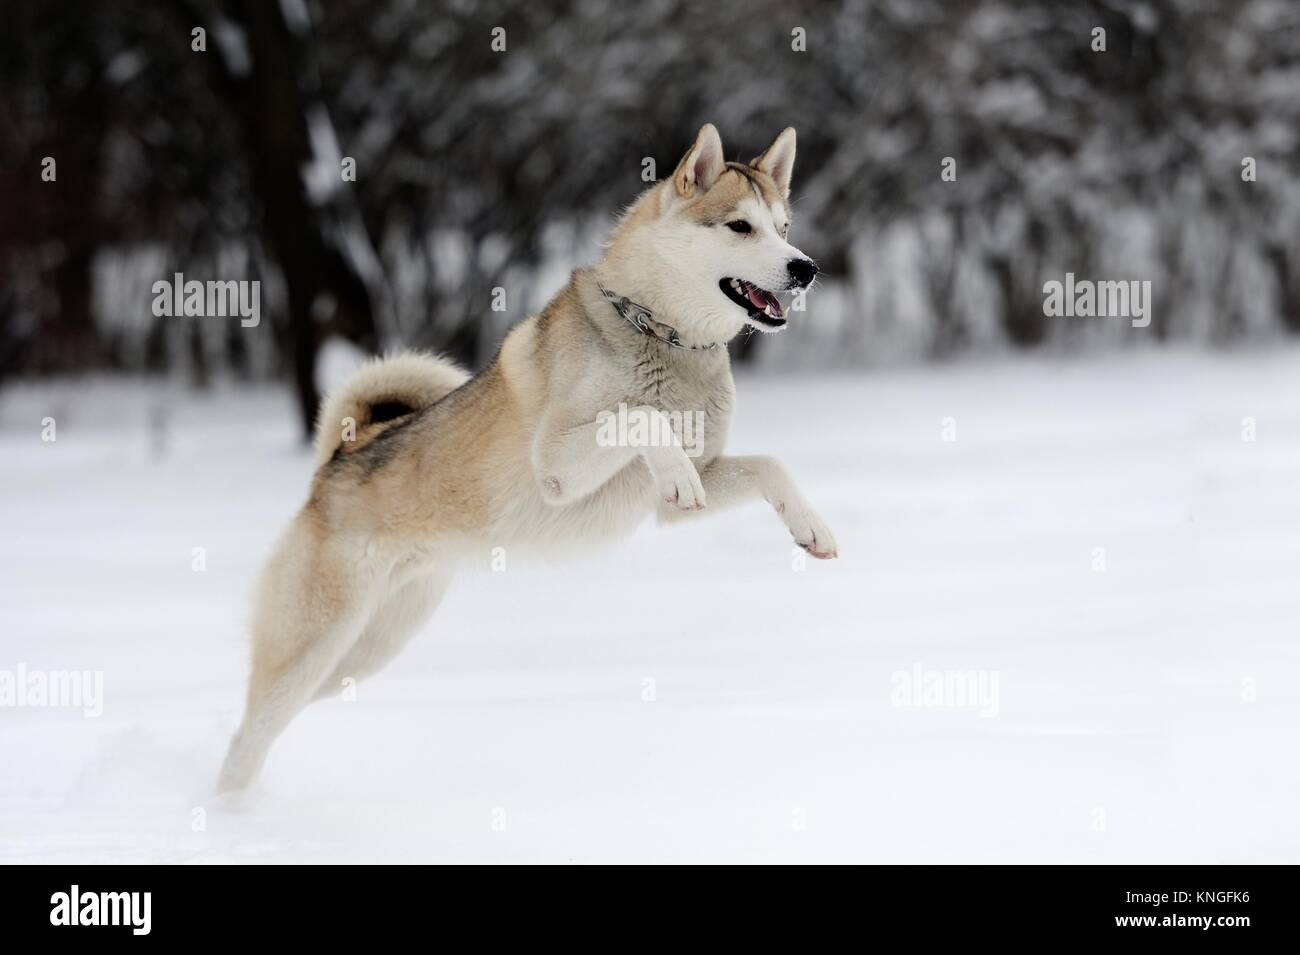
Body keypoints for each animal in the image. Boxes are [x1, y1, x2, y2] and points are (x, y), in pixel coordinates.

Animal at [218, 124, 837, 792]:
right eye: (741, 227)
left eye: (784, 225)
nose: (806, 268)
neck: (662, 336)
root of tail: (336, 458)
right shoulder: (558, 466)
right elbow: (639, 419)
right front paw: (669, 461)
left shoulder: (682, 495)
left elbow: (769, 465)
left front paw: (812, 529)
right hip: (313, 647)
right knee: (245, 737)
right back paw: (230, 810)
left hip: (363, 652)